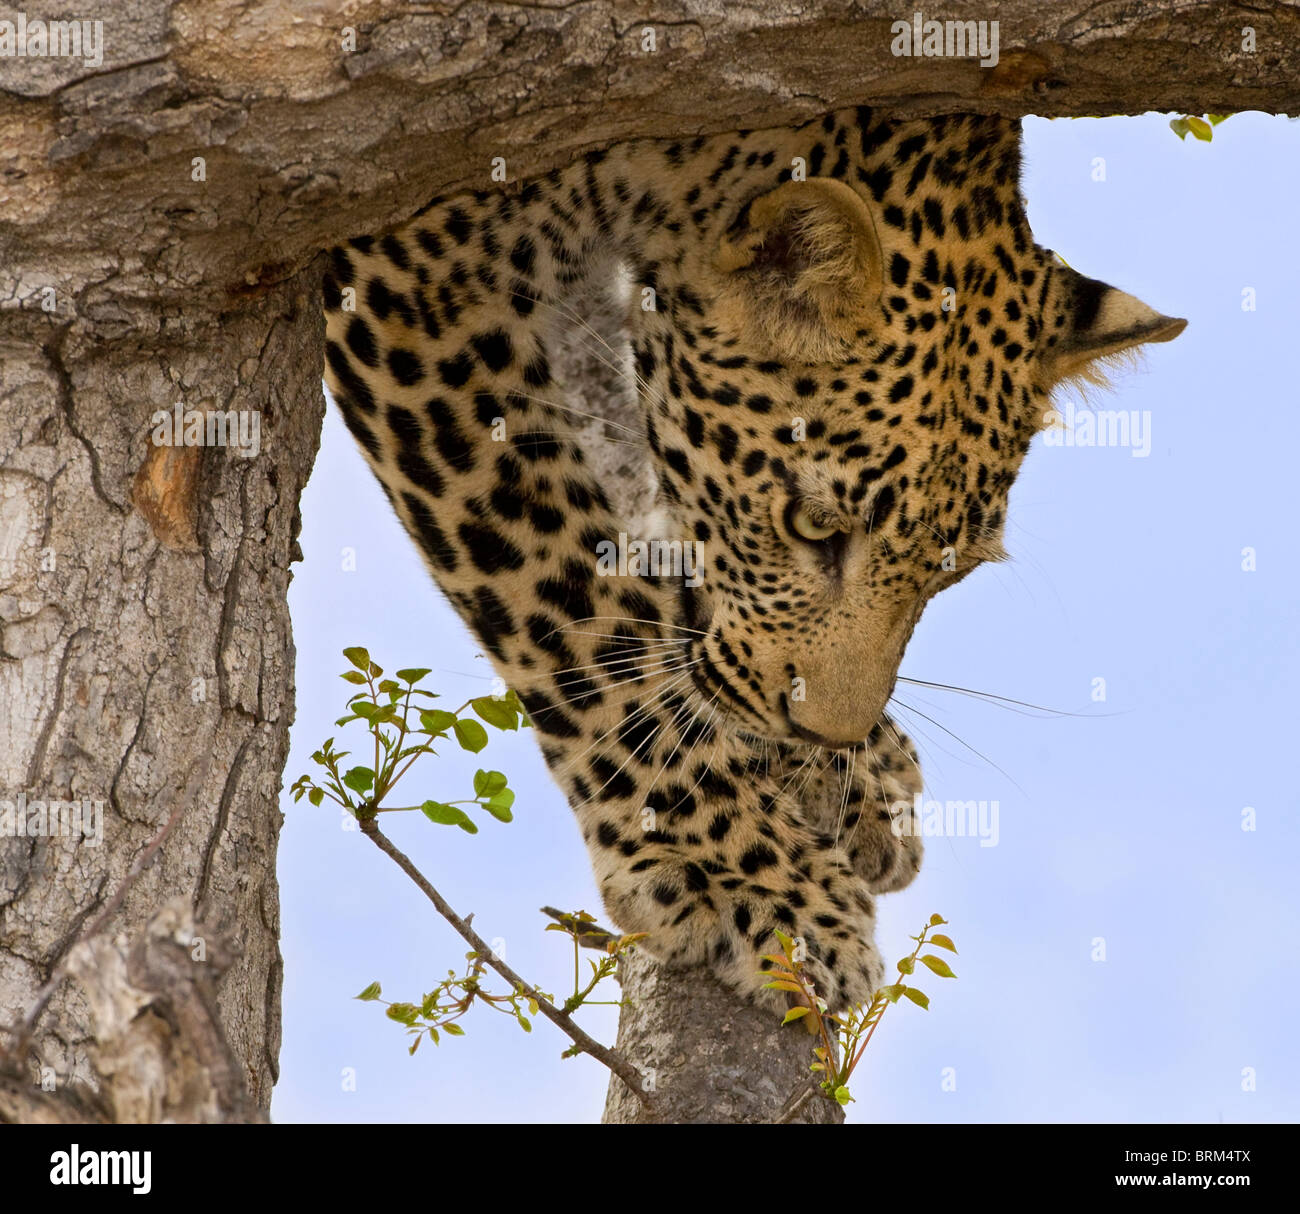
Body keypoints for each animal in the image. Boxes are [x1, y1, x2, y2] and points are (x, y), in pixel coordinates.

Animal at [321, 107, 1185, 1012]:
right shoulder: (423, 288)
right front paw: (748, 880)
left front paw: (849, 773)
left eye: (953, 571)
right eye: (814, 527)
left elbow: (636, 478)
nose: (823, 729)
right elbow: (575, 600)